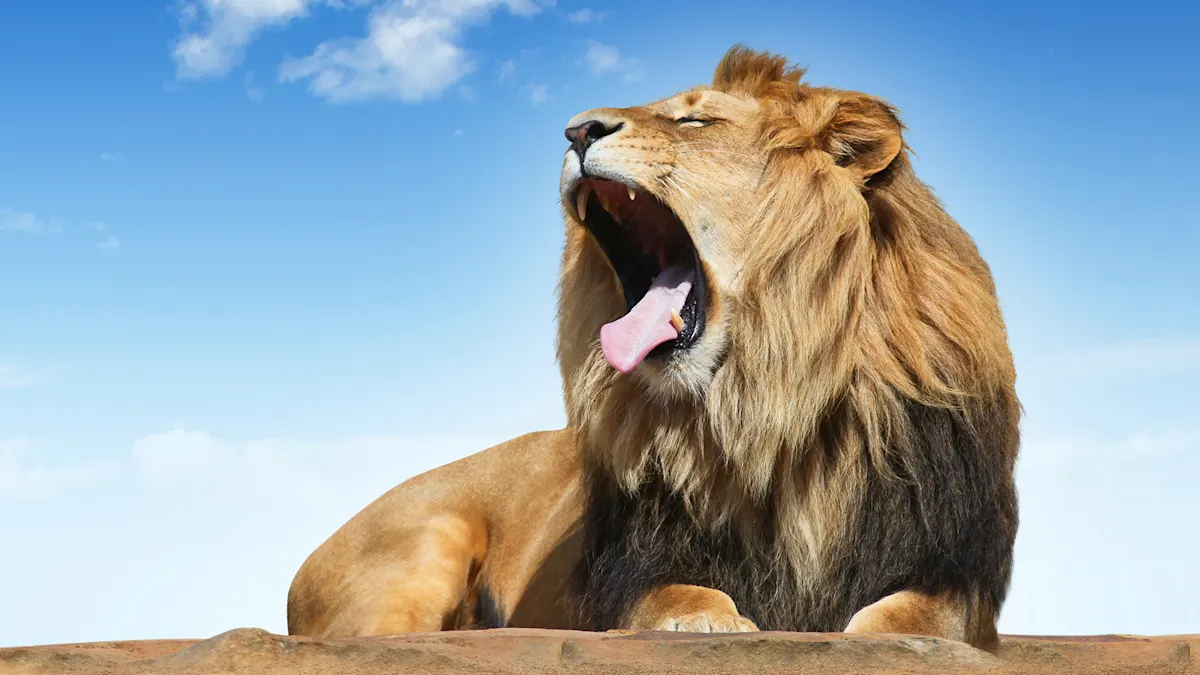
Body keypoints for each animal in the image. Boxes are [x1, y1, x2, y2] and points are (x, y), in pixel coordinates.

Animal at [286, 45, 1020, 654]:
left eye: (695, 122)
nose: (577, 131)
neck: (766, 411)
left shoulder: (950, 566)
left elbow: (915, 617)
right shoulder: (631, 569)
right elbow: (672, 594)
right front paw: (709, 621)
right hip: (424, 547)